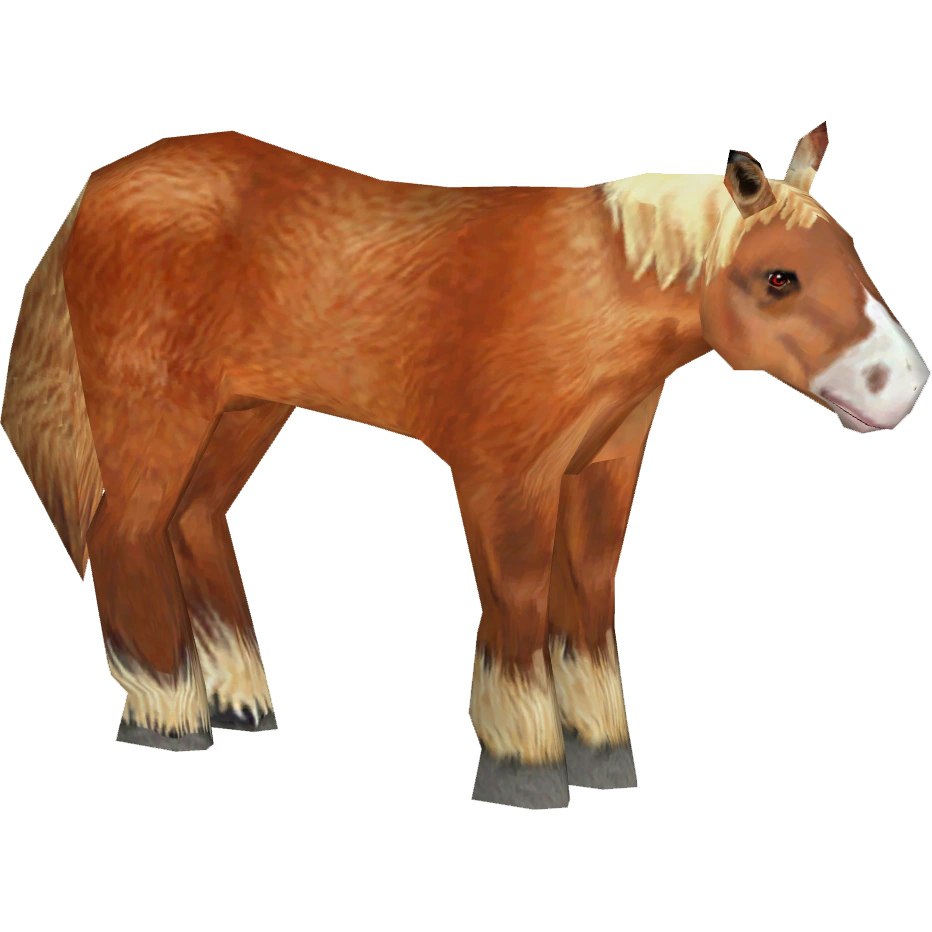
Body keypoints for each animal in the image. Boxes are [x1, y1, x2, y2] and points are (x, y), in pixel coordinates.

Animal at [1, 122, 926, 811]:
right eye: (780, 278)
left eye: (851, 255)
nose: (905, 385)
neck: (589, 291)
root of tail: (98, 188)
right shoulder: (505, 480)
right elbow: (517, 602)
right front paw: (526, 759)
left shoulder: (600, 470)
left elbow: (587, 592)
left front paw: (602, 745)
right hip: (159, 417)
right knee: (124, 534)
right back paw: (169, 713)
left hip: (242, 415)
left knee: (190, 523)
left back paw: (240, 697)